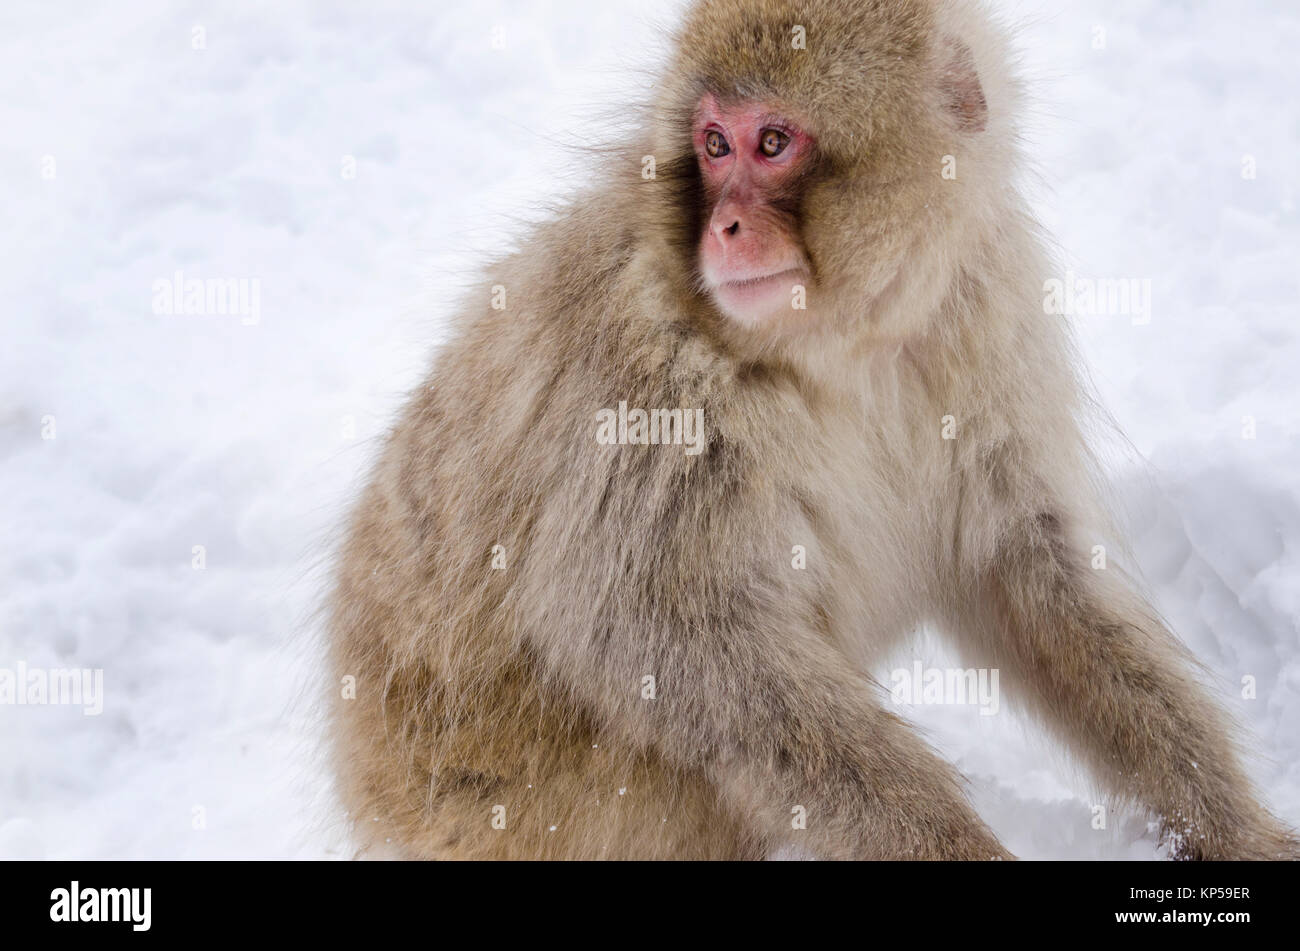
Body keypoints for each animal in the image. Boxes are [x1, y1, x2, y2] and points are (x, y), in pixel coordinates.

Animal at [326, 0, 1299, 860]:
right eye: (714, 145)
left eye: (772, 142)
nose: (723, 227)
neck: (849, 344)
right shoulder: (646, 382)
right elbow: (649, 631)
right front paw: (961, 847)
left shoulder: (985, 312)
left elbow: (1030, 568)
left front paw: (1227, 823)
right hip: (497, 794)